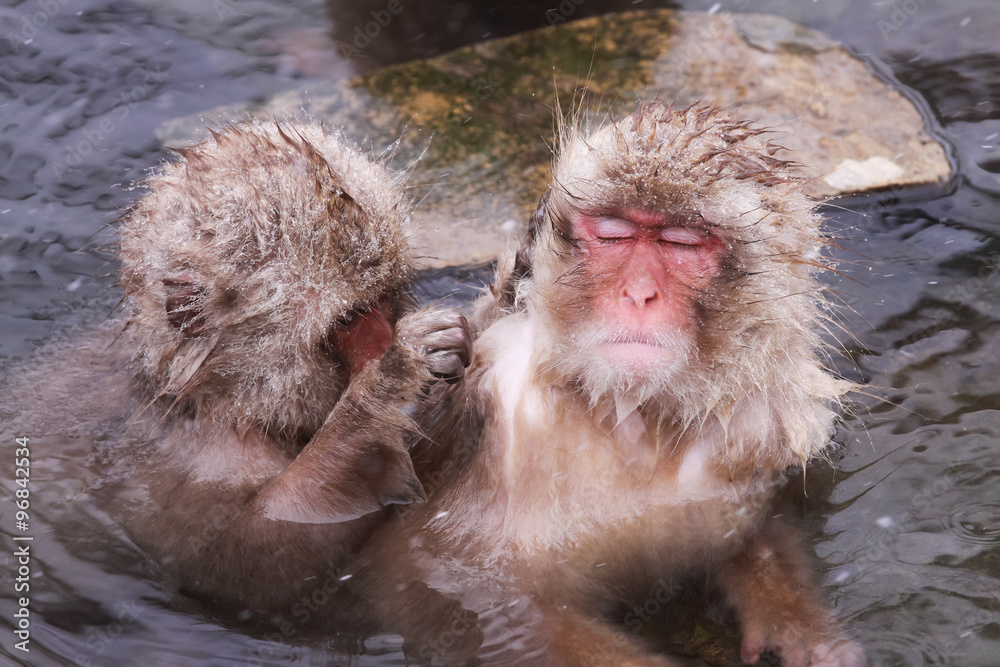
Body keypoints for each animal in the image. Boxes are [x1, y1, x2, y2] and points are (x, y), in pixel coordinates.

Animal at [93, 120, 471, 623]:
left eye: (385, 299)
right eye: (350, 320)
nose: (384, 339)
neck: (218, 398)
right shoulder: (195, 466)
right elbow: (251, 564)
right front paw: (390, 379)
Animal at [343, 103, 866, 666]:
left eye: (681, 243)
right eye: (615, 235)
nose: (638, 294)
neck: (634, 415)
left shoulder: (765, 431)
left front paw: (800, 627)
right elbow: (456, 593)